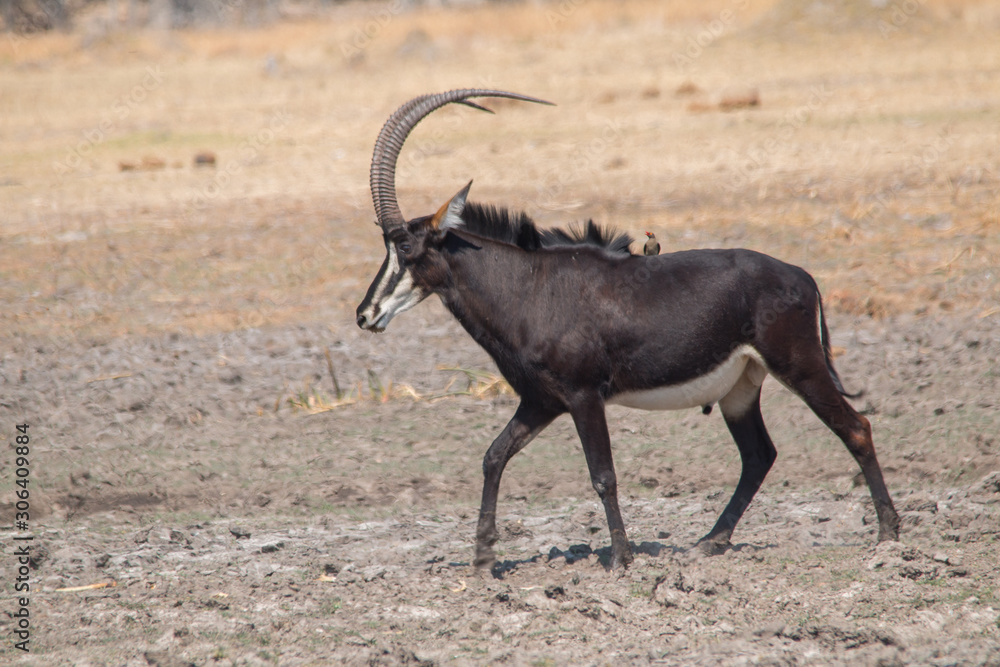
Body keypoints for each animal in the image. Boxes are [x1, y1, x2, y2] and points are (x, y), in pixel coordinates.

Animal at [355, 89, 899, 571]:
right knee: (759, 455)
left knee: (855, 428)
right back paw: (710, 542)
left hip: (800, 367)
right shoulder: (541, 401)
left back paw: (889, 535)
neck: (529, 285)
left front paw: (620, 559)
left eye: (406, 249)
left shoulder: (583, 396)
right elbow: (493, 457)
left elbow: (603, 475)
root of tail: (803, 277)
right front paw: (484, 560)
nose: (365, 314)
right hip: (740, 389)